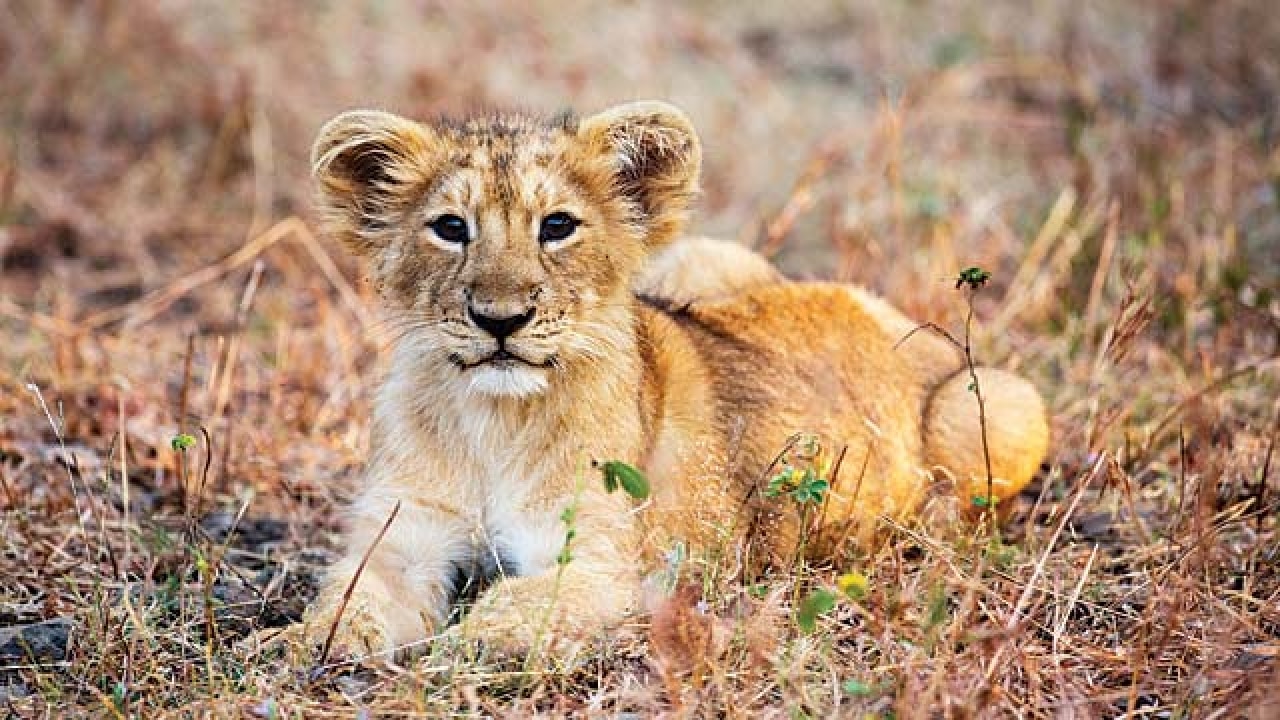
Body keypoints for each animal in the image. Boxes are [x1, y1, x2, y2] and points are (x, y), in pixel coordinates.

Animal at [300, 101, 1049, 660]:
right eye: (450, 228)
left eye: (558, 226)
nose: (501, 319)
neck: (494, 420)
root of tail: (880, 308)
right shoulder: (405, 536)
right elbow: (350, 597)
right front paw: (305, 642)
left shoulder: (615, 566)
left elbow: (519, 607)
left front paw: (466, 645)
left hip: (1003, 407)